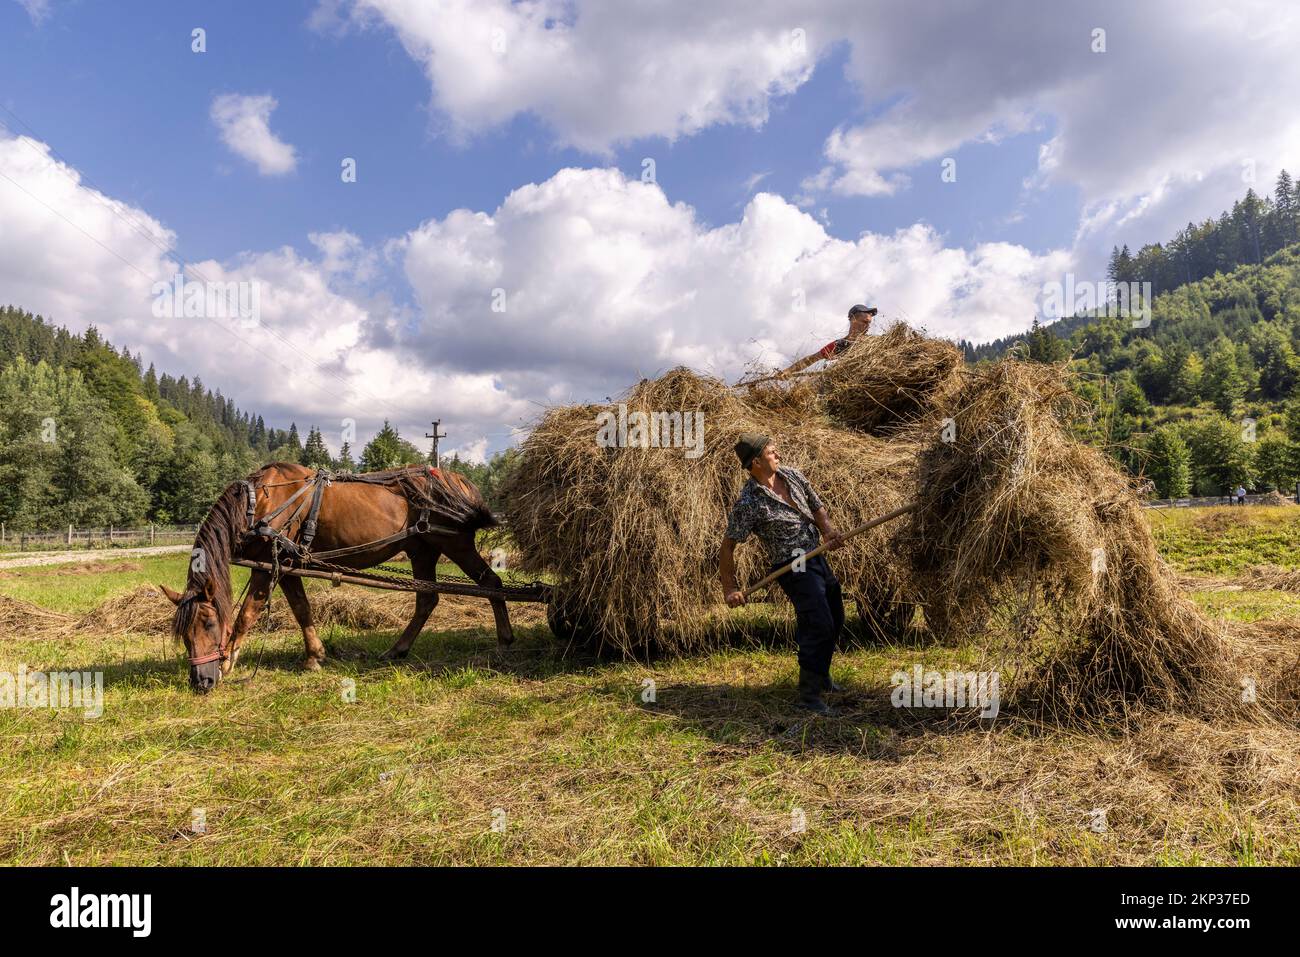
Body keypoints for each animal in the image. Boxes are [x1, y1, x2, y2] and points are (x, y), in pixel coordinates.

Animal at [160, 462, 512, 693]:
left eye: (207, 624)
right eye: (184, 634)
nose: (201, 682)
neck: (258, 501)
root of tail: (457, 481)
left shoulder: (266, 565)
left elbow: (247, 613)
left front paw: (228, 663)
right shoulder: (287, 564)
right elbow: (301, 609)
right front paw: (314, 657)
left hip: (455, 543)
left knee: (492, 585)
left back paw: (505, 641)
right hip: (422, 551)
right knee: (427, 599)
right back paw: (397, 650)